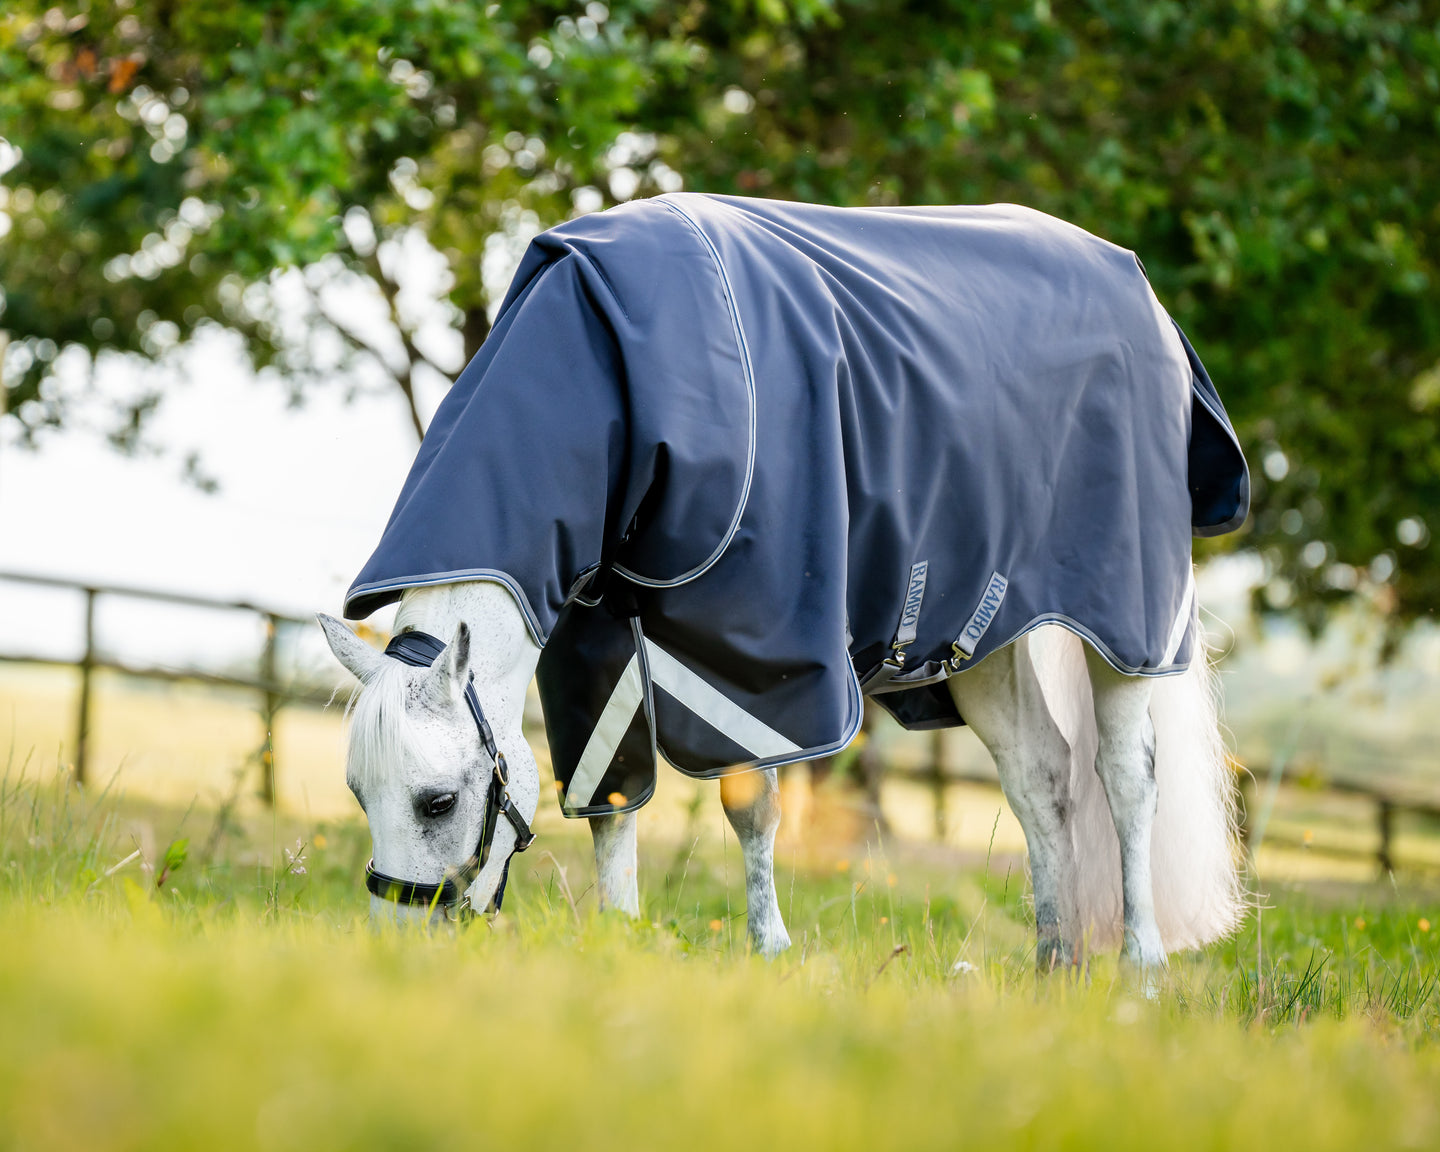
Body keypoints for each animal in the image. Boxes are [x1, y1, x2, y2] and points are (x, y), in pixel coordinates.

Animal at [319, 194, 1250, 974]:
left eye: (438, 802)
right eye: (359, 792)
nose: (398, 944)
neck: (618, 375)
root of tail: (1151, 305)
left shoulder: (759, 647)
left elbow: (750, 800)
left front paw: (769, 946)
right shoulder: (592, 638)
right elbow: (610, 794)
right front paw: (618, 936)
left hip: (1128, 626)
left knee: (1126, 778)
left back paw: (1142, 967)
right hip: (989, 634)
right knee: (1040, 779)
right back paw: (1056, 965)